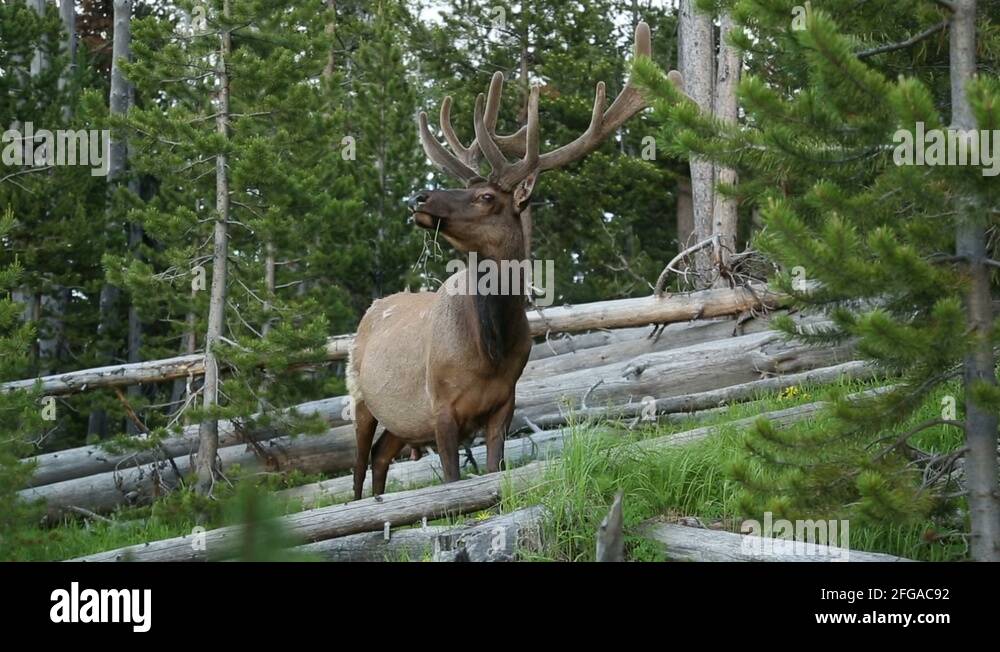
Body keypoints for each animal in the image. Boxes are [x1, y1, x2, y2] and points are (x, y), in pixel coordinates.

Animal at [347, 22, 682, 500]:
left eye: (486, 196)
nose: (420, 198)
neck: (489, 348)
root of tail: (371, 310)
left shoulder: (504, 403)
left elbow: (493, 473)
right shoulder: (440, 407)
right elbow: (452, 479)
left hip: (401, 422)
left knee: (379, 458)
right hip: (359, 397)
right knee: (357, 466)